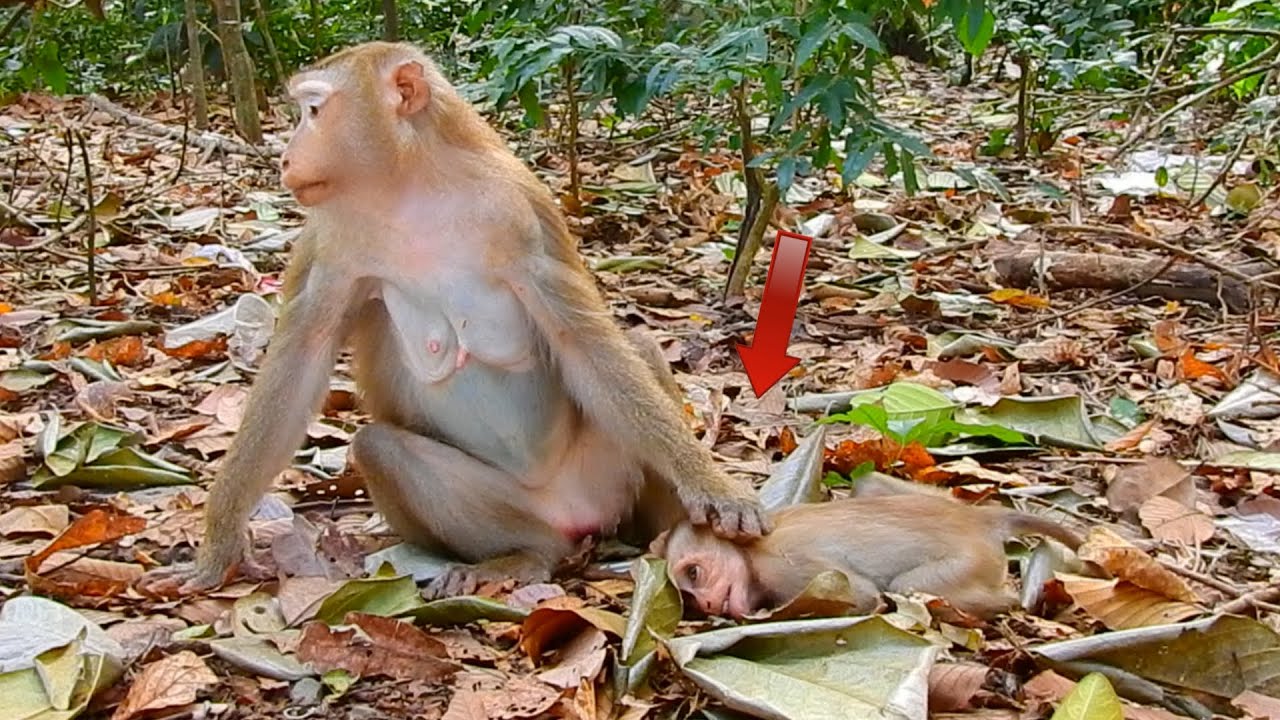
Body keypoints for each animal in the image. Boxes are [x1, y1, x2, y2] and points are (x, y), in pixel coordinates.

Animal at [138, 41, 767, 600]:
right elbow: (301, 361)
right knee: (380, 448)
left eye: (313, 110)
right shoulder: (330, 239)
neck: (411, 189)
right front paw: (219, 546)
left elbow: (582, 344)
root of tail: (576, 511)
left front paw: (712, 485)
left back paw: (668, 531)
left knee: (636, 348)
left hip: (606, 473)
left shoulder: (518, 209)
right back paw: (521, 557)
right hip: (523, 508)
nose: (285, 157)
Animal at [651, 493, 1083, 620]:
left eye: (693, 573)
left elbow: (862, 596)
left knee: (907, 586)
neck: (751, 557)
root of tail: (978, 518)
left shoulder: (787, 566)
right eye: (689, 595)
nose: (706, 603)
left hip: (971, 559)